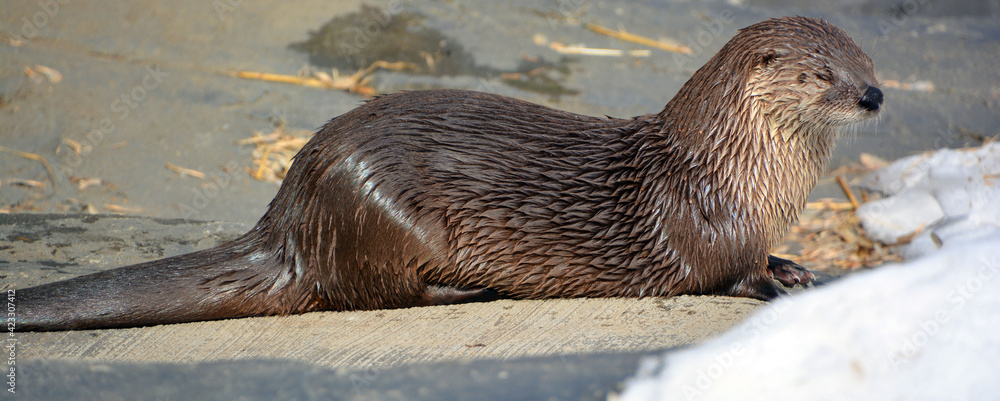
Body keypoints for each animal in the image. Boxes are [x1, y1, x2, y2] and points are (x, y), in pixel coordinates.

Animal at [14, 16, 882, 331]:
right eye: (819, 74)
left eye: (867, 63)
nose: (872, 95)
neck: (737, 170)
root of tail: (289, 221)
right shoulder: (712, 225)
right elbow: (731, 274)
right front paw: (778, 282)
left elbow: (767, 255)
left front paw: (794, 262)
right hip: (379, 213)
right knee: (371, 292)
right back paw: (473, 288)